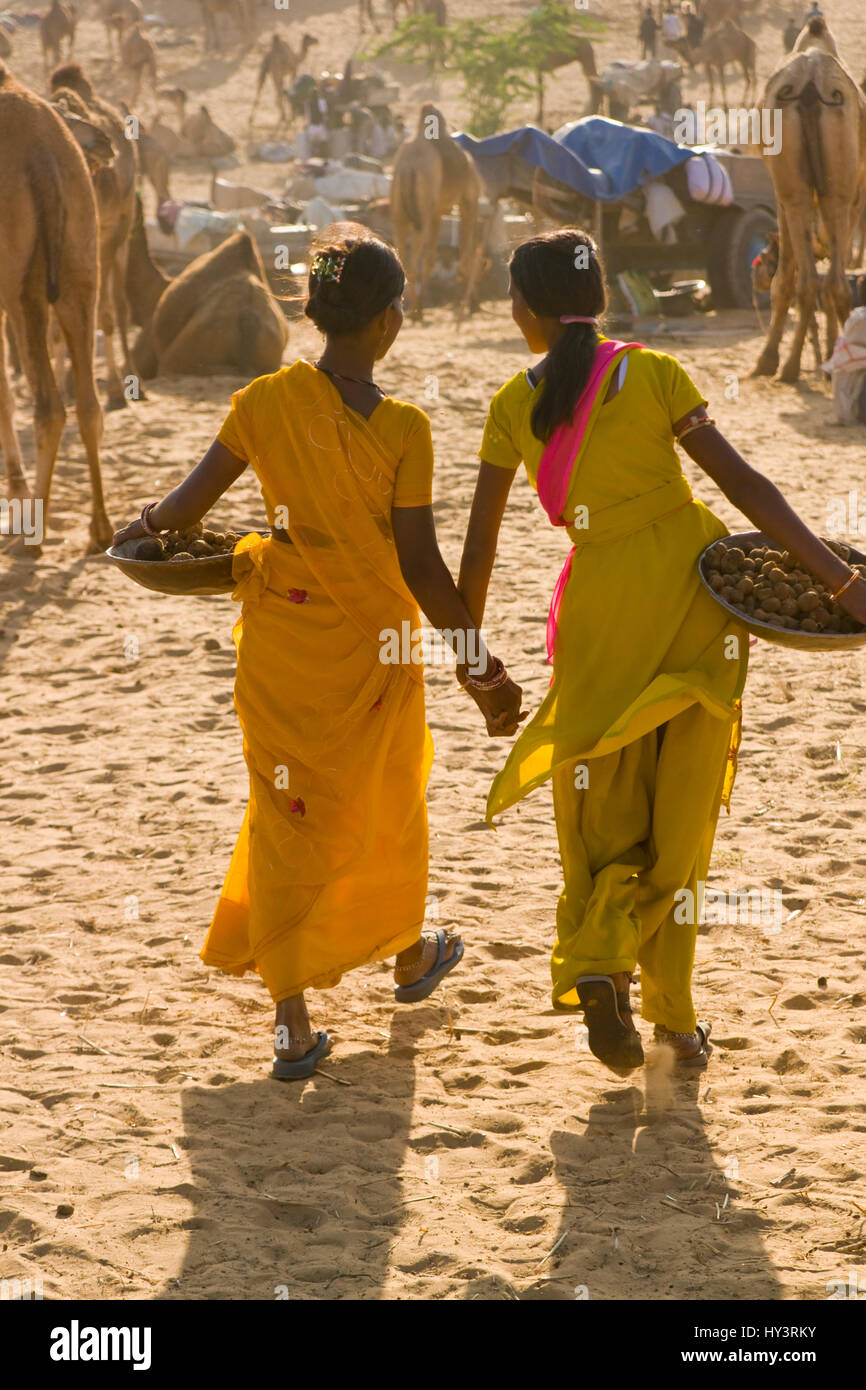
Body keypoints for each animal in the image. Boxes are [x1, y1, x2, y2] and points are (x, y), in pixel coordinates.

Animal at [390, 103, 482, 319]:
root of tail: (407, 168)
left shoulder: (437, 212)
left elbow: (431, 259)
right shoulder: (469, 201)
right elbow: (466, 251)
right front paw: (472, 303)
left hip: (400, 216)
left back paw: (414, 309)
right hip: (422, 218)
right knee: (414, 262)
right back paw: (416, 312)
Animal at [754, 19, 866, 382]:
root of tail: (810, 85)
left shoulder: (781, 195)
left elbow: (785, 278)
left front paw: (769, 359)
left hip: (798, 191)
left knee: (811, 281)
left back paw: (789, 366)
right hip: (834, 191)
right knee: (830, 283)